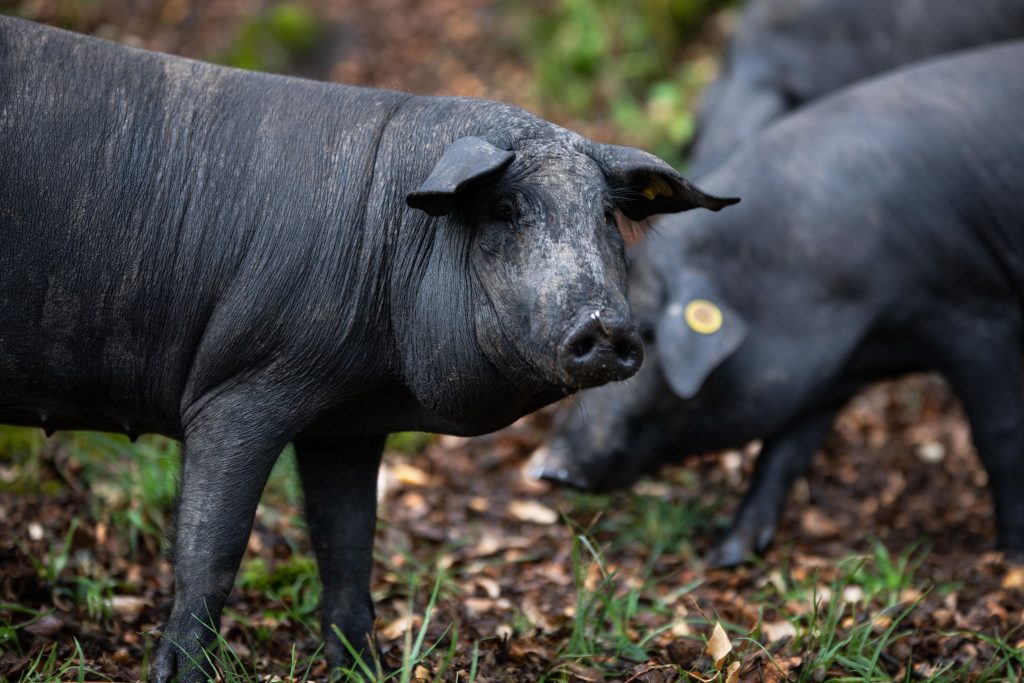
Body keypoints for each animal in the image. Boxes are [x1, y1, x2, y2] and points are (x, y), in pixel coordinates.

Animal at [0, 16, 738, 681]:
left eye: (606, 217)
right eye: (504, 212)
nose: (607, 326)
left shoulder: (344, 425)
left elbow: (349, 548)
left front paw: (366, 669)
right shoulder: (236, 391)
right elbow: (212, 554)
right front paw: (181, 675)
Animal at [534, 42, 1024, 568]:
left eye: (645, 334)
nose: (550, 468)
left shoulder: (979, 320)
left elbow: (1000, 435)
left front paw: (1011, 559)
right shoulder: (827, 373)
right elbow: (786, 448)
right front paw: (727, 555)